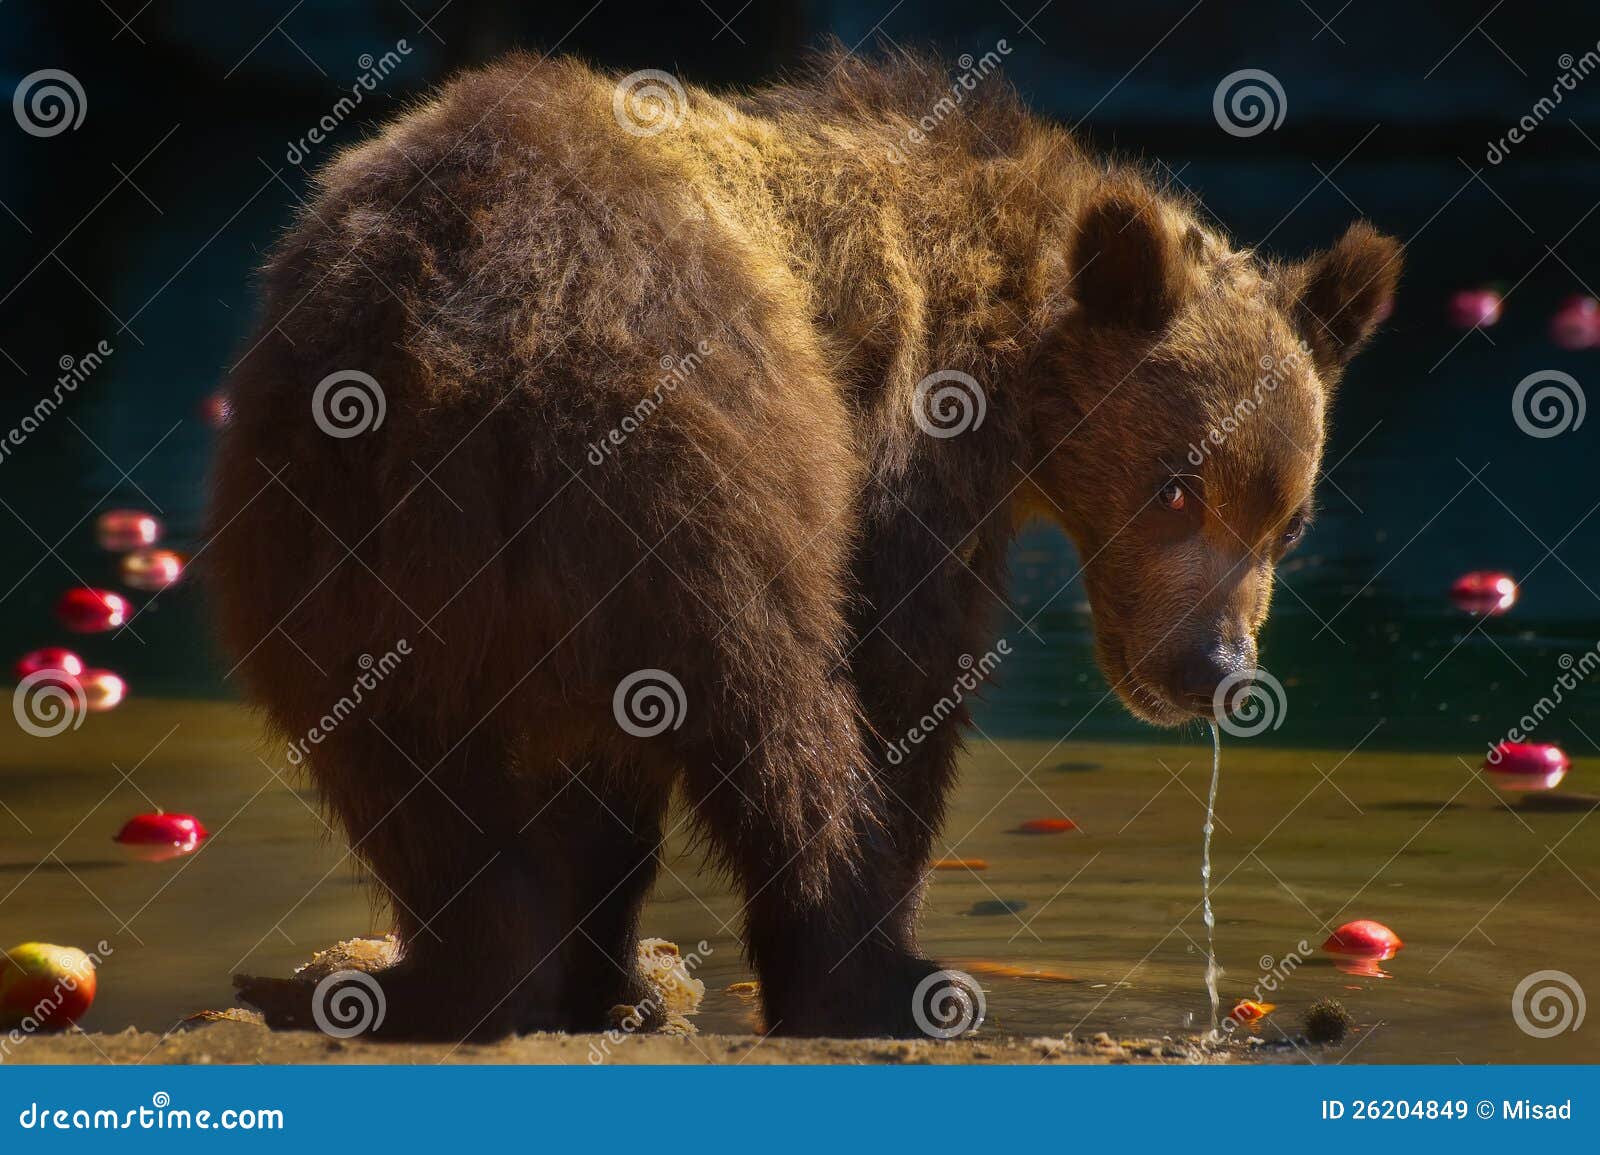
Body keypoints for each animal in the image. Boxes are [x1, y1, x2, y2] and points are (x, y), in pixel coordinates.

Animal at [207, 48, 1400, 1041]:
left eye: (1287, 517)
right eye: (1176, 489)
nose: (1216, 668)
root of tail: (459, 340)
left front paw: (604, 970)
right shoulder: (911, 457)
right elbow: (902, 680)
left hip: (329, 535)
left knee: (403, 768)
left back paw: (476, 975)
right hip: (693, 467)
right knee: (780, 714)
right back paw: (879, 982)